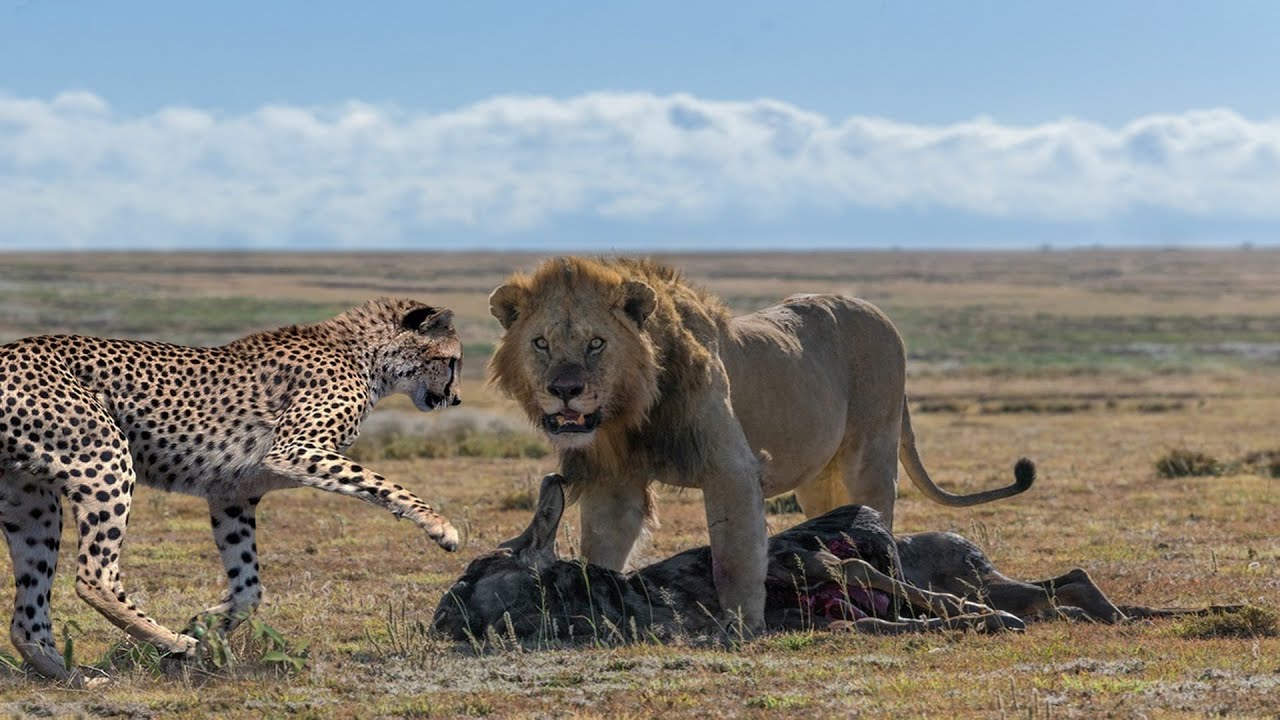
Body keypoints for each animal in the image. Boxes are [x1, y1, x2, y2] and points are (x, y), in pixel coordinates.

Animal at [488, 257, 1032, 631]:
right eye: (541, 343)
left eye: (596, 343)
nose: (565, 389)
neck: (632, 412)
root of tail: (876, 310)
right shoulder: (613, 481)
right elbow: (602, 545)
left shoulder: (730, 466)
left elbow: (734, 556)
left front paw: (742, 626)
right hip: (819, 476)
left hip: (872, 449)